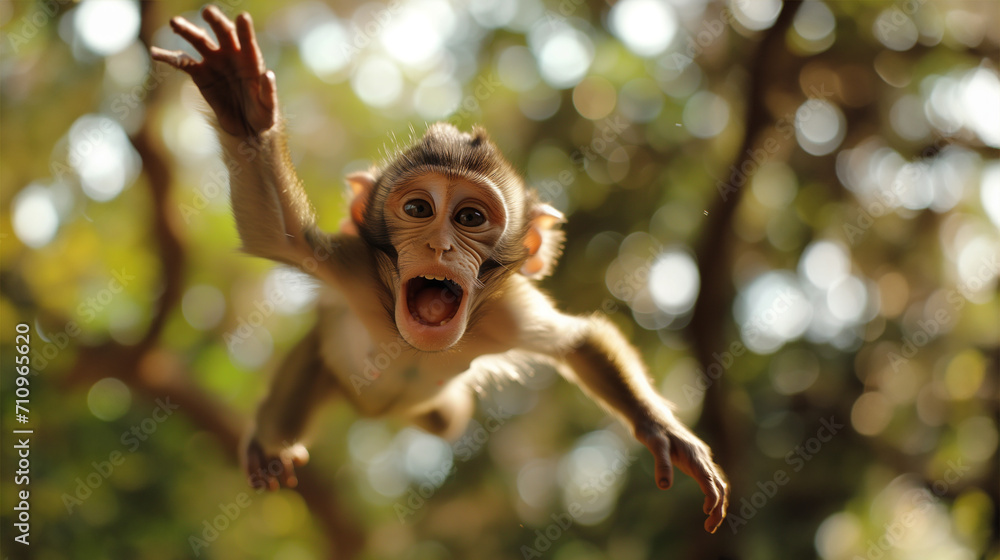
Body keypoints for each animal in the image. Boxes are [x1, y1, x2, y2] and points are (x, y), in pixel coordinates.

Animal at [152, 6, 729, 533]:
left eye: (470, 217)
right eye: (418, 209)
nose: (440, 244)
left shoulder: (511, 314)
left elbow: (579, 340)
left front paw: (663, 433)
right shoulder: (353, 270)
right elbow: (280, 236)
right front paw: (242, 102)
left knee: (446, 420)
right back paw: (268, 445)